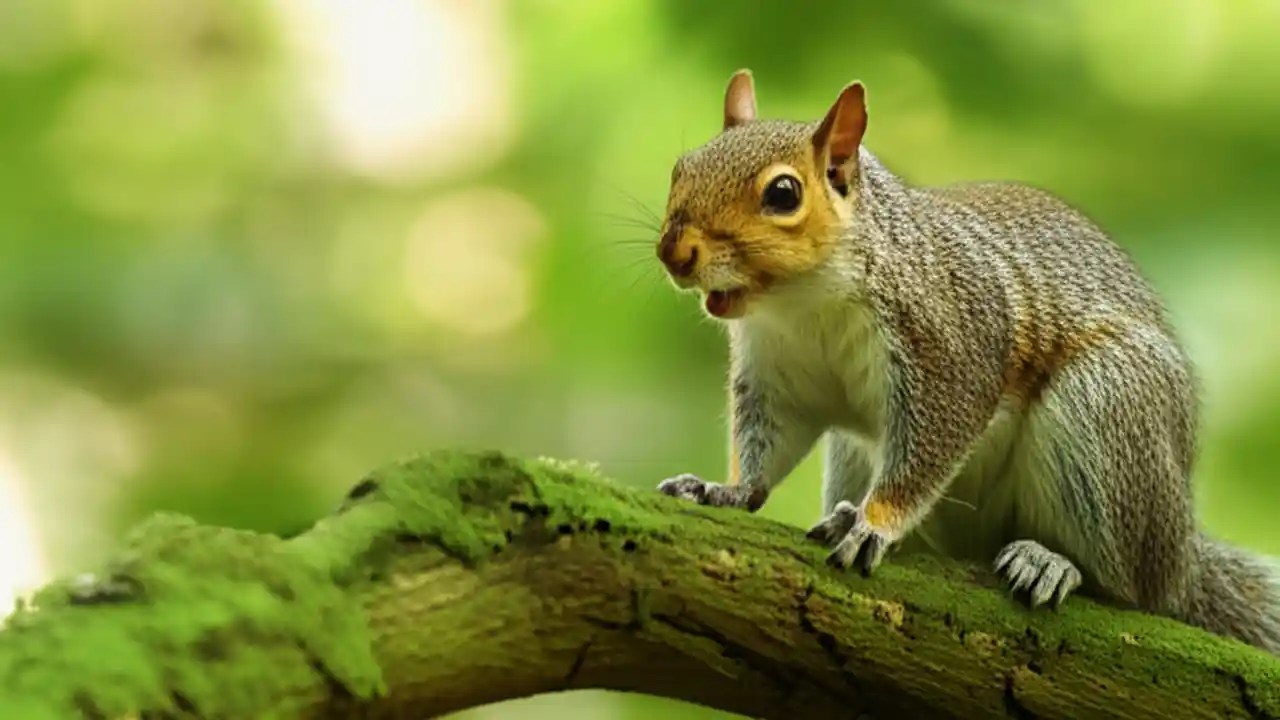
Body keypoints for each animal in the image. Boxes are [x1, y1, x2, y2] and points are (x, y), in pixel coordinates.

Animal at [654, 68, 1280, 654]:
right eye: (680, 169)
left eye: (783, 194)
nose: (673, 253)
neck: (805, 303)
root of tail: (1184, 563)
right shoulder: (778, 374)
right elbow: (769, 445)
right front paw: (727, 490)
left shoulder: (952, 347)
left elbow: (931, 449)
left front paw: (875, 524)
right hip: (857, 453)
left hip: (1108, 410)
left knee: (1131, 591)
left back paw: (1053, 563)